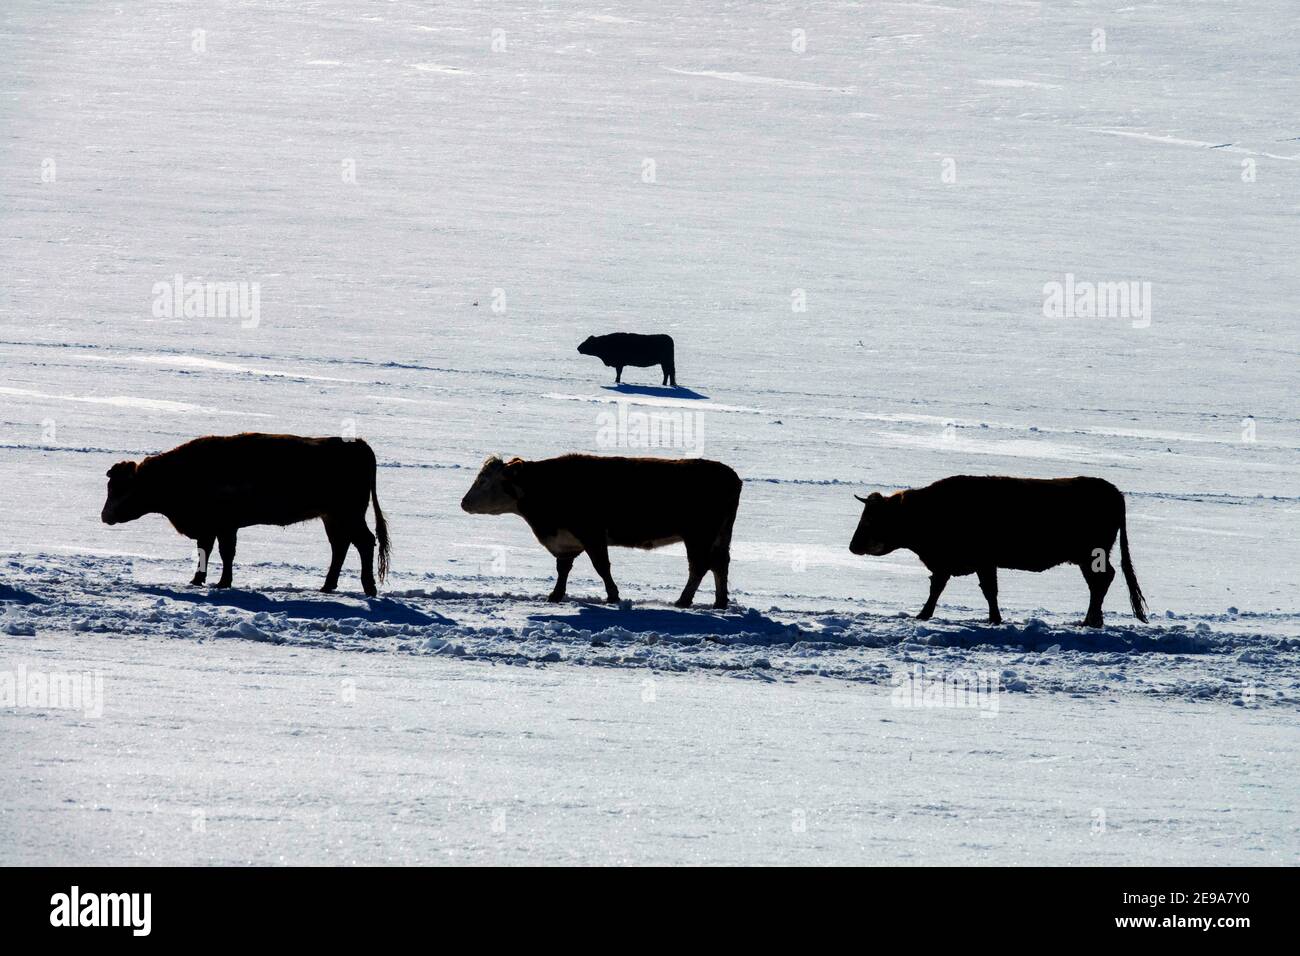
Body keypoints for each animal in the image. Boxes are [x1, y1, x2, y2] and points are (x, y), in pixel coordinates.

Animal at [101, 433, 390, 597]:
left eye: (119, 487)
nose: (104, 516)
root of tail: (359, 446)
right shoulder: (213, 528)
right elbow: (208, 551)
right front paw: (200, 580)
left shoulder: (223, 526)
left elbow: (224, 553)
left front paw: (220, 582)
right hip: (332, 518)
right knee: (341, 547)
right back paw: (328, 586)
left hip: (348, 515)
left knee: (364, 542)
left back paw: (368, 587)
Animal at [461, 454, 741, 607]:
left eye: (483, 480)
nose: (463, 502)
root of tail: (731, 475)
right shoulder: (567, 541)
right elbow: (563, 570)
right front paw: (555, 595)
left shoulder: (592, 535)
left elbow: (601, 567)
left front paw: (613, 596)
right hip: (718, 536)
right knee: (720, 565)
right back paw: (719, 602)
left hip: (698, 536)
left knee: (700, 566)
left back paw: (683, 600)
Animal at [849, 475, 1147, 627]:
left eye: (872, 519)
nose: (852, 546)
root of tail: (1113, 491)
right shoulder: (951, 564)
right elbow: (940, 588)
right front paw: (924, 613)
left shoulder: (981, 561)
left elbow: (987, 591)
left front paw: (993, 618)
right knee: (1101, 582)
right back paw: (1093, 619)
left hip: (1091, 556)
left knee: (1101, 581)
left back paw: (1090, 620)